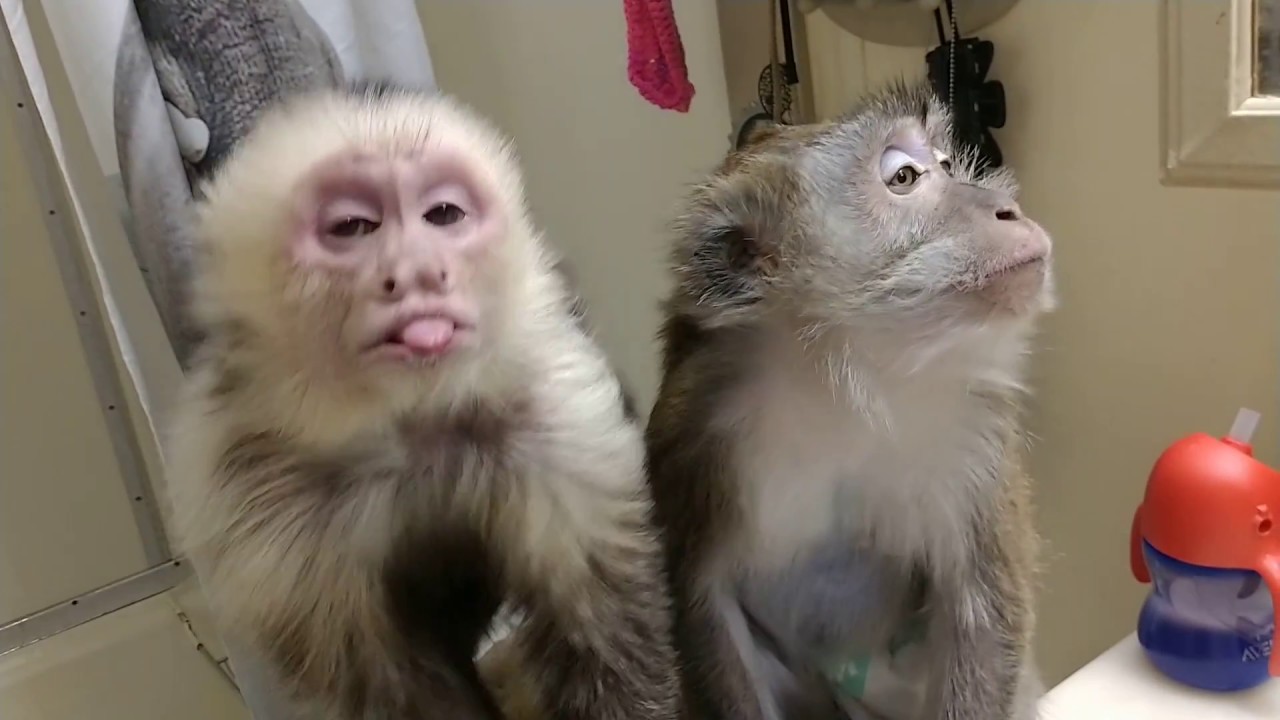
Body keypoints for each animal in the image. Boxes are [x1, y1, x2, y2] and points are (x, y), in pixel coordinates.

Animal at [162, 81, 682, 720]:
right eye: (353, 226)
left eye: (443, 216)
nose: (417, 272)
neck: (409, 421)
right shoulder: (261, 502)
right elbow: (394, 688)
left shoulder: (559, 422)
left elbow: (607, 638)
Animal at [644, 80, 1055, 720]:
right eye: (904, 177)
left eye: (945, 164)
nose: (1006, 209)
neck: (836, 386)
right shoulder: (694, 431)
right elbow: (705, 606)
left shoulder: (973, 430)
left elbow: (983, 603)